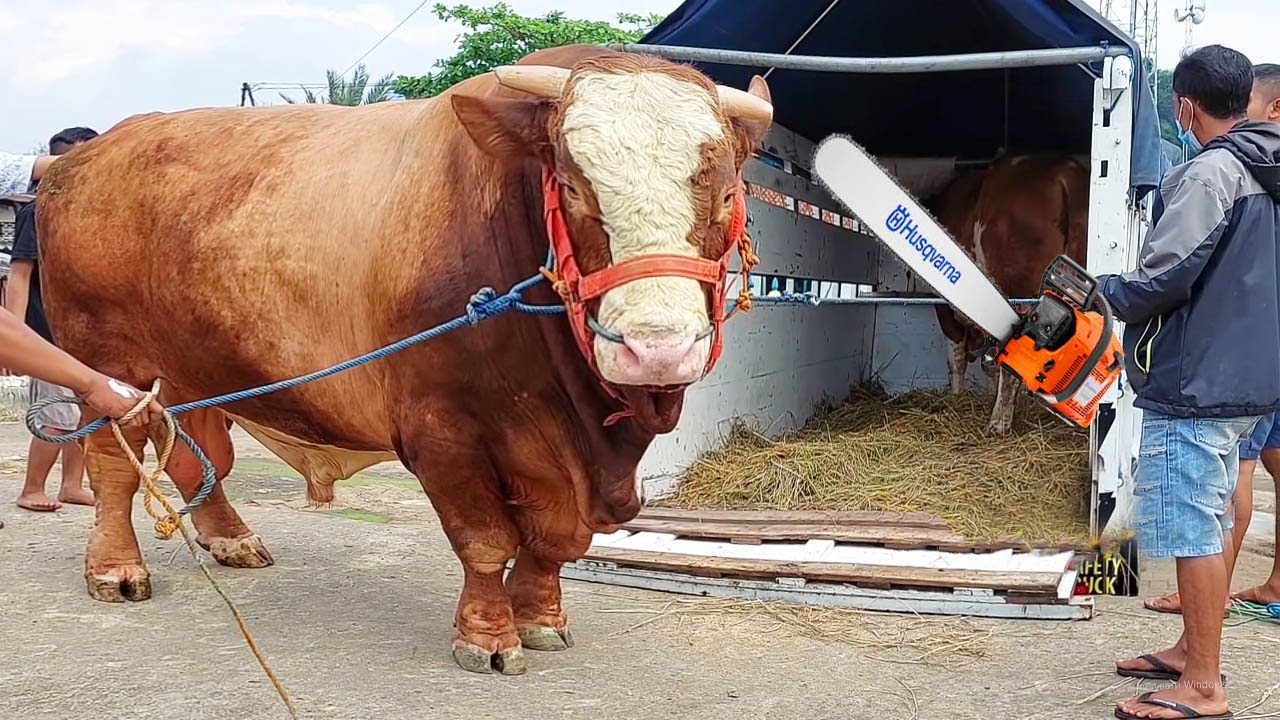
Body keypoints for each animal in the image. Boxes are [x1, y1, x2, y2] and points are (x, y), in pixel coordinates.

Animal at [33, 45, 773, 676]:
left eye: (727, 194)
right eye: (571, 186)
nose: (658, 349)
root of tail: (79, 160)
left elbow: (557, 539)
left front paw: (541, 617)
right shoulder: (442, 430)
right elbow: (485, 538)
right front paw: (489, 637)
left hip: (197, 367)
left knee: (201, 453)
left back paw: (231, 538)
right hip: (107, 363)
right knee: (112, 463)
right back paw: (116, 569)